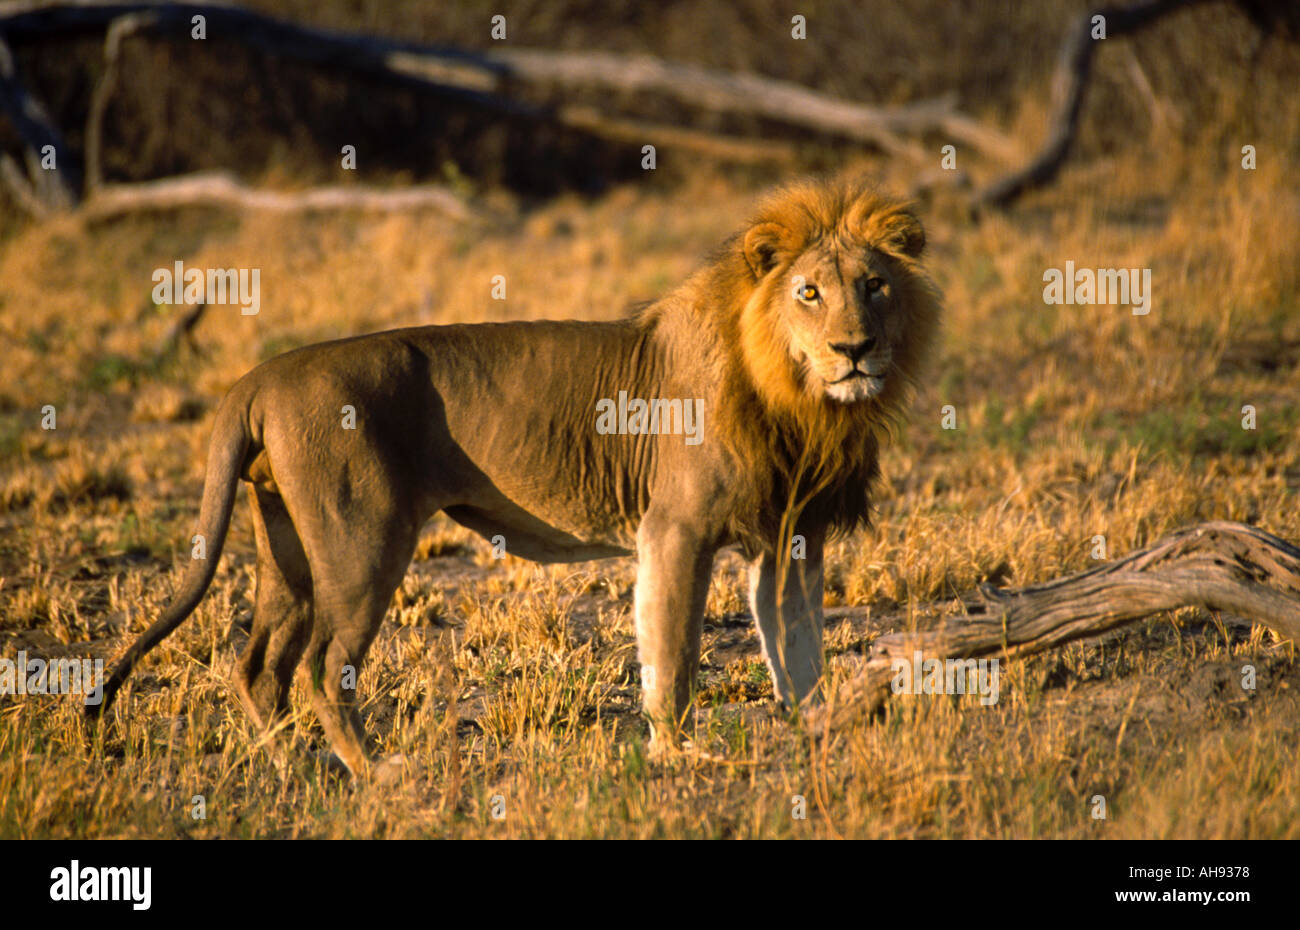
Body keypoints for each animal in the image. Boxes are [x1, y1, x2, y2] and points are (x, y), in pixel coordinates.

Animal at [93, 177, 941, 778]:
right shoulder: (675, 530)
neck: (800, 399)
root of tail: (258, 377)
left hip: (288, 546)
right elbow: (673, 655)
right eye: (809, 292)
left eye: (875, 286)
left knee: (257, 665)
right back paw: (375, 774)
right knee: (320, 668)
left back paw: (292, 768)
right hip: (362, 542)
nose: (855, 349)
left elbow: (799, 650)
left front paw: (816, 731)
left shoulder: (791, 537)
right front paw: (678, 756)